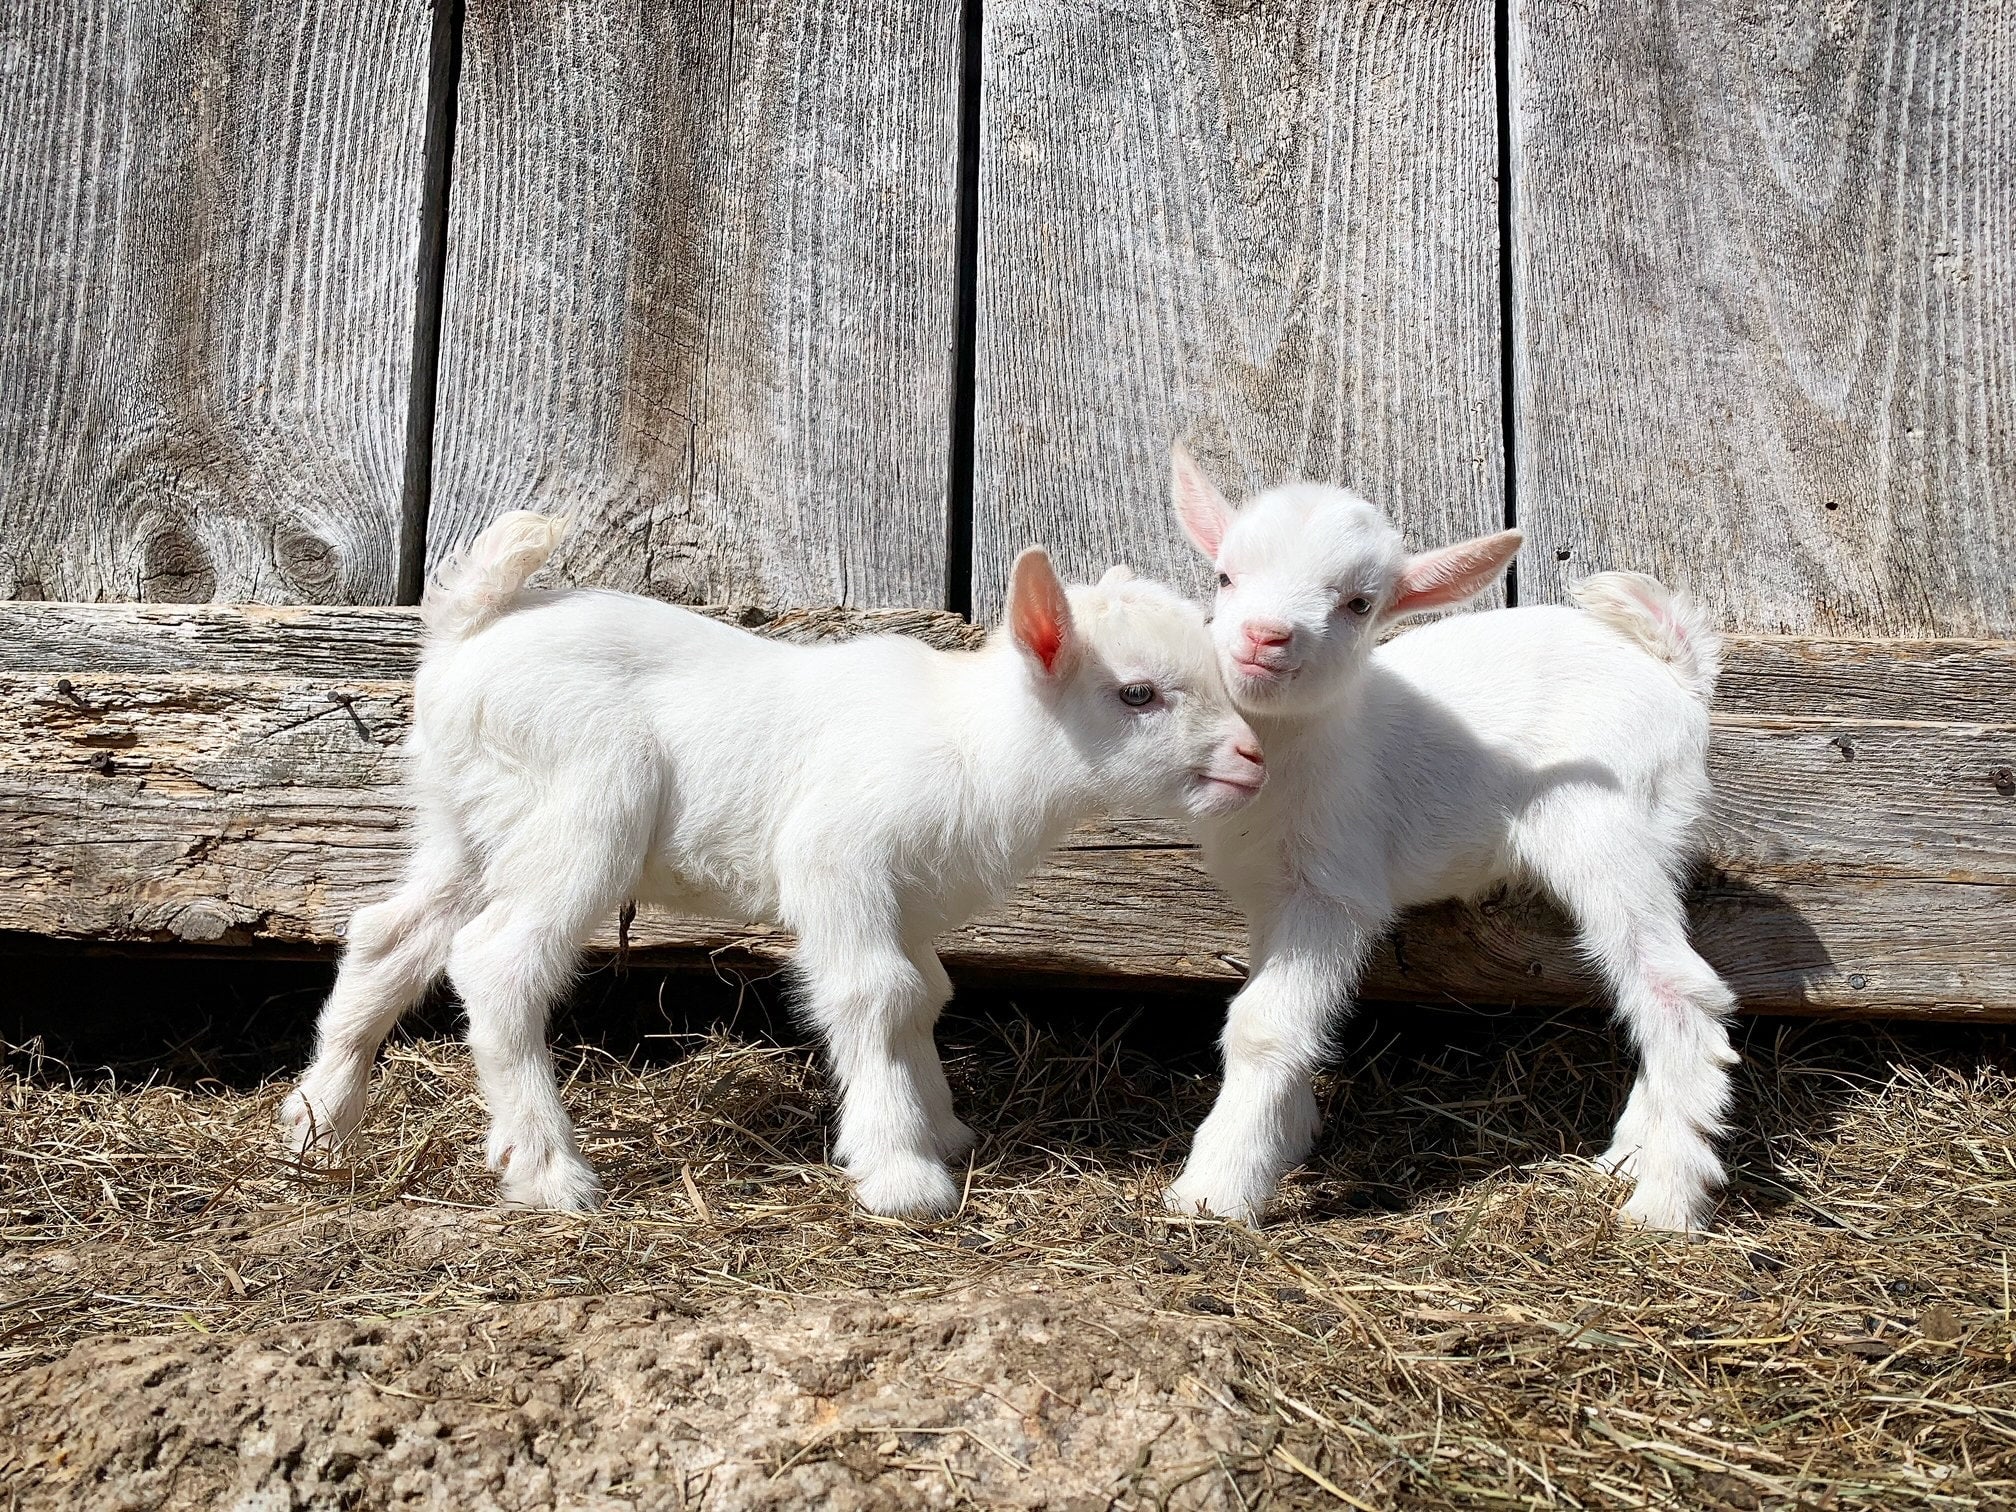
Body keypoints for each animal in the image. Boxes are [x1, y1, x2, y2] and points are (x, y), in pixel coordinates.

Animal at [282, 512, 1265, 1218]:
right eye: (1137, 693)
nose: (1252, 760)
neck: (974, 743)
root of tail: (466, 633)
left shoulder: (905, 900)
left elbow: (926, 993)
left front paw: (942, 1127)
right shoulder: (838, 859)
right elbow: (876, 993)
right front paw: (900, 1172)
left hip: (470, 820)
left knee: (389, 935)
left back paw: (318, 1125)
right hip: (583, 807)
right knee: (497, 963)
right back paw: (548, 1172)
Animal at [1164, 449, 1738, 1231]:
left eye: (1360, 604)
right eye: (1226, 575)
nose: (1264, 637)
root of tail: (1678, 677)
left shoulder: (1333, 888)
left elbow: (1261, 1025)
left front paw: (1217, 1188)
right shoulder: (1266, 893)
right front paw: (1287, 1135)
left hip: (1604, 831)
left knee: (1680, 989)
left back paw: (1666, 1200)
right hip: (1661, 834)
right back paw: (1629, 1155)